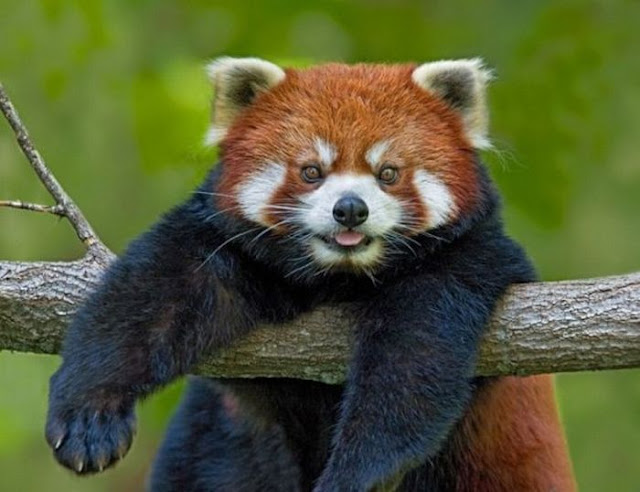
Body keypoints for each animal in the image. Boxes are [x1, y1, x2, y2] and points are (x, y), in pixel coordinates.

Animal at [45, 57, 575, 491]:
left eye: (388, 173)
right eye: (311, 171)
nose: (350, 209)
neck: (336, 278)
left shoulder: (466, 261)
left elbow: (414, 362)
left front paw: (356, 476)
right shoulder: (227, 245)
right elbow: (149, 300)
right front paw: (89, 416)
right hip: (223, 442)